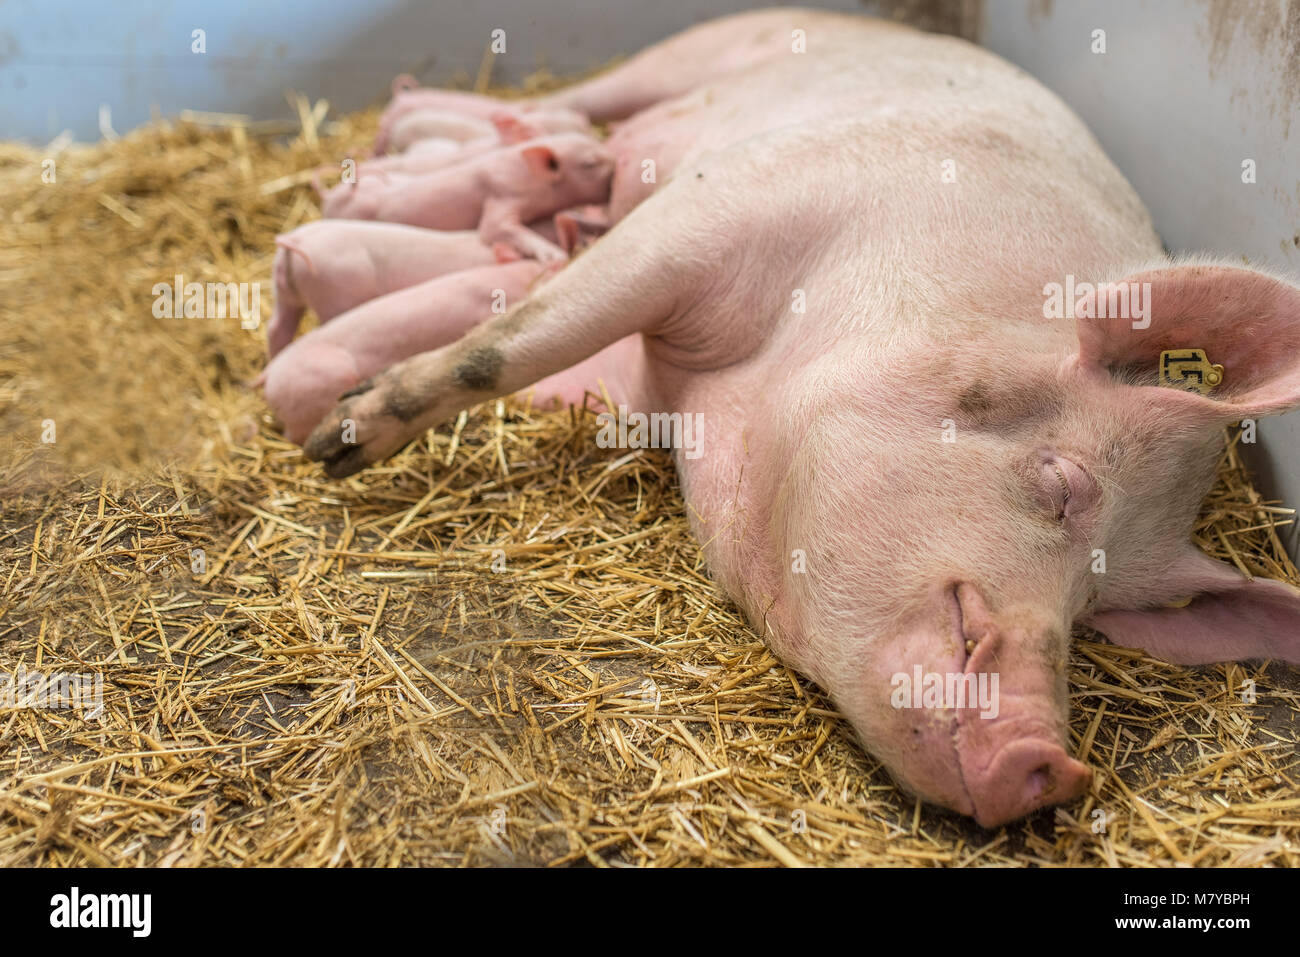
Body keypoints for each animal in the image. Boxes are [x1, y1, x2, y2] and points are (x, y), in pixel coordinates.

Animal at [318, 132, 614, 263]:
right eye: (589, 163)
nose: (616, 164)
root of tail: (327, 199)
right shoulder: (500, 194)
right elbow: (491, 229)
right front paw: (554, 255)